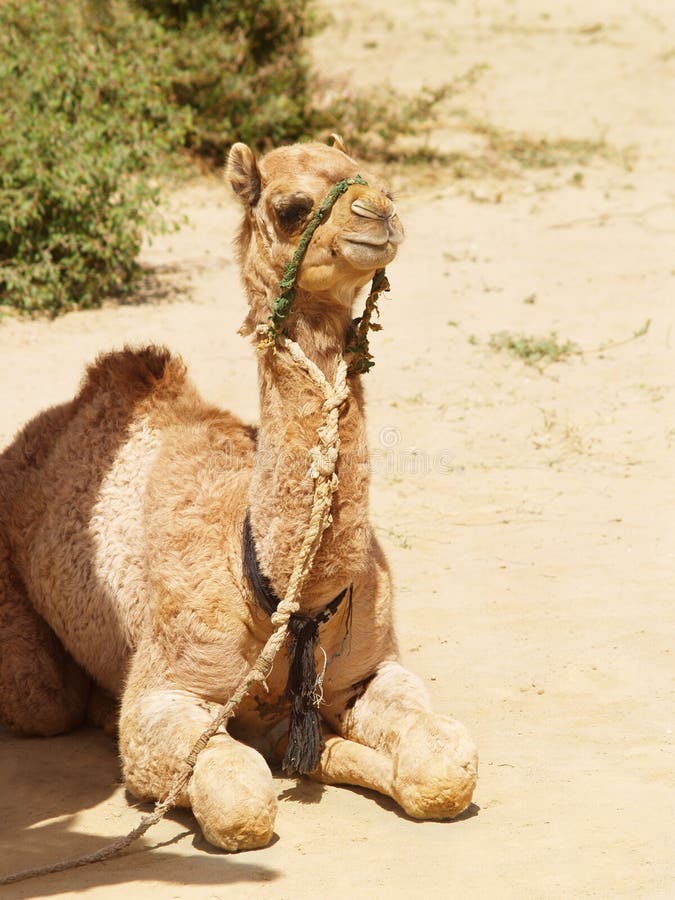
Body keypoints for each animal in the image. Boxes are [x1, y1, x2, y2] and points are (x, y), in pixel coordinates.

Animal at [0, 139, 478, 851]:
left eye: (380, 181)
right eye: (292, 207)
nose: (380, 214)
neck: (269, 582)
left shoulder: (374, 667)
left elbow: (444, 766)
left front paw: (318, 749)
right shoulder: (164, 693)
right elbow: (238, 797)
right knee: (44, 700)